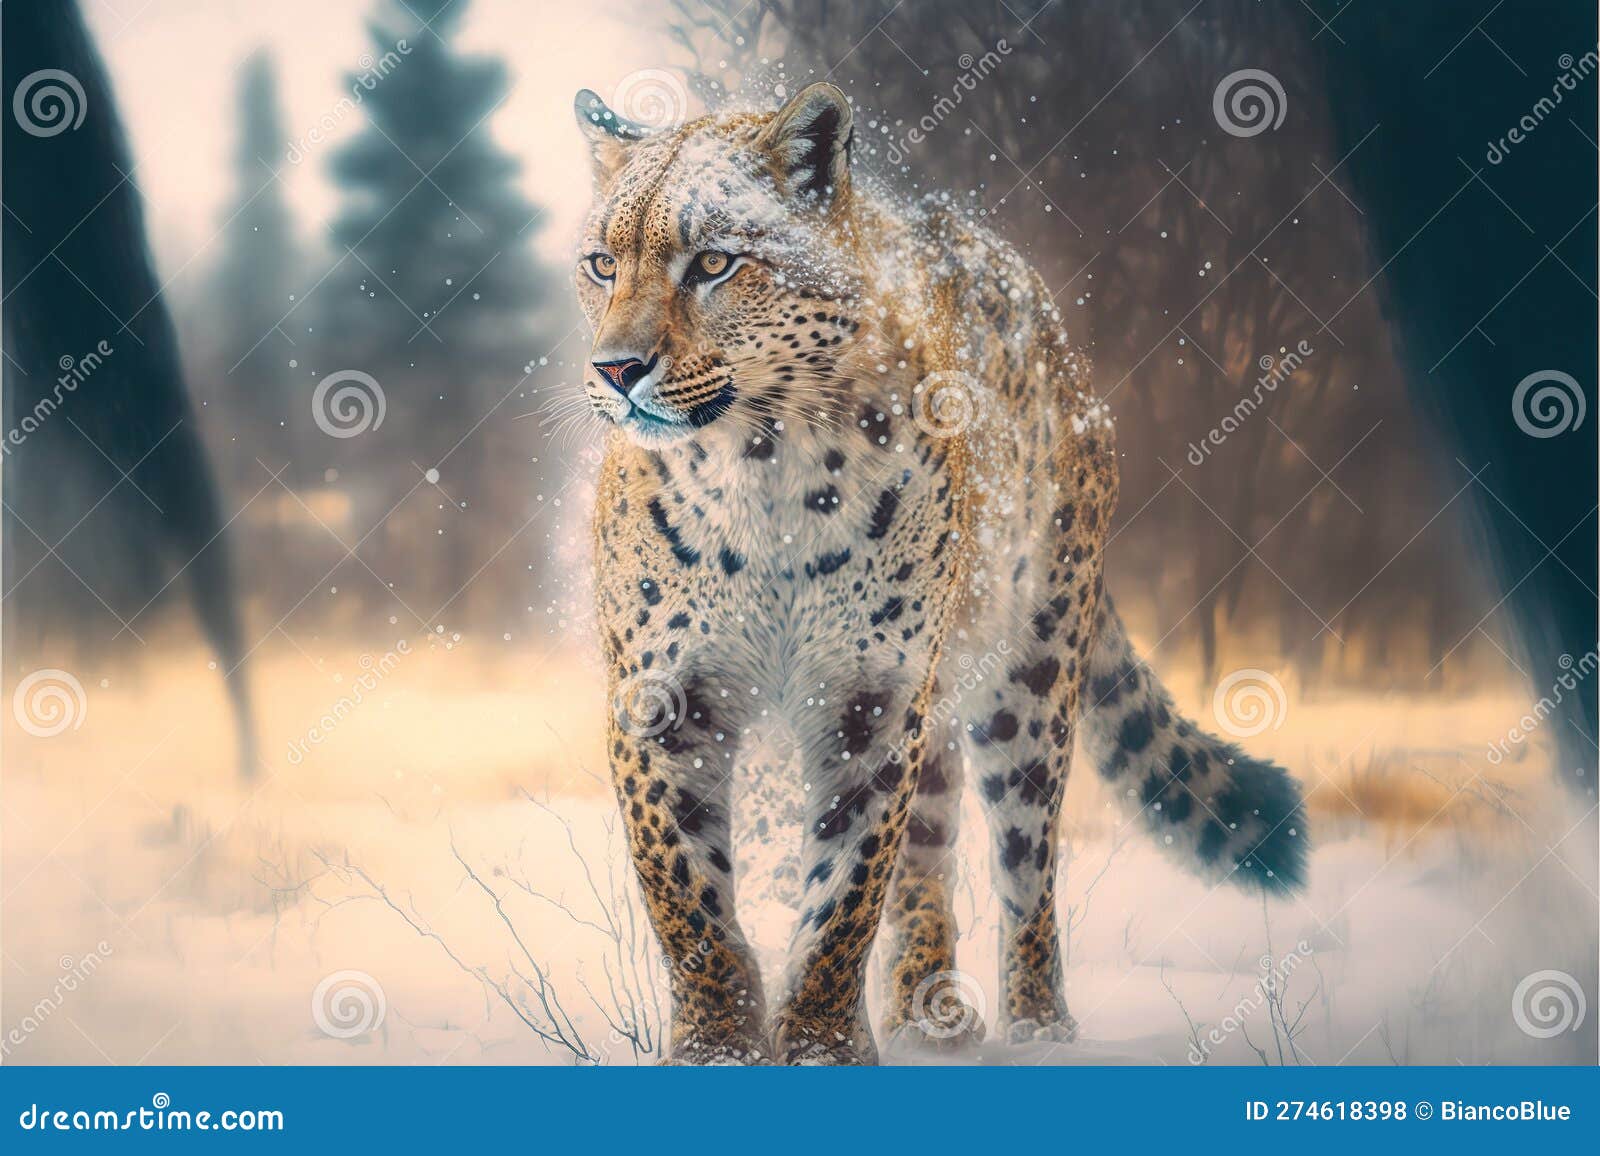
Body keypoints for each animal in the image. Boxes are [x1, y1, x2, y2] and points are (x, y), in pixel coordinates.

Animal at [571, 81, 1307, 1065]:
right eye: (602, 264)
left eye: (717, 263)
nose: (617, 369)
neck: (762, 471)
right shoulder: (665, 695)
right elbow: (685, 888)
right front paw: (719, 1045)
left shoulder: (870, 697)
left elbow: (847, 882)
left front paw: (818, 1046)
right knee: (927, 843)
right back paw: (926, 1008)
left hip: (1028, 672)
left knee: (1024, 858)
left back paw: (1038, 1028)